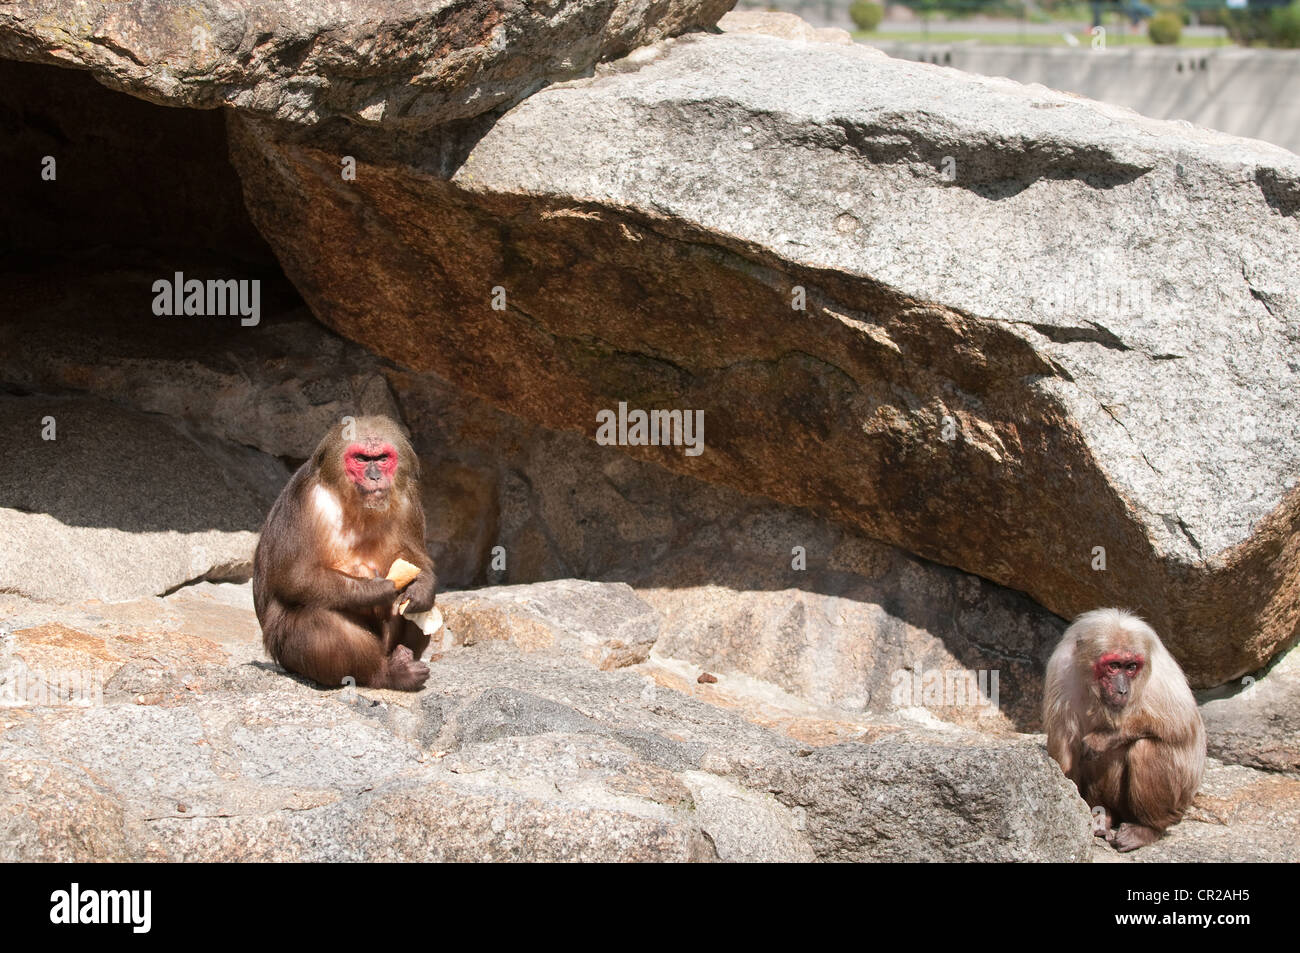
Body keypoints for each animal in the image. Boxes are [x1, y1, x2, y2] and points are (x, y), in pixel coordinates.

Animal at [253, 416, 436, 691]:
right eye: (361, 459)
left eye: (382, 458)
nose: (375, 476)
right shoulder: (306, 498)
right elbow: (294, 577)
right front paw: (378, 590)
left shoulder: (407, 497)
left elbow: (415, 559)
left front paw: (421, 587)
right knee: (316, 621)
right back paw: (386, 674)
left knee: (420, 610)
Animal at [1043, 608, 1205, 852]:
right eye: (1113, 666)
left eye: (1130, 667)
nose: (1121, 690)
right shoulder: (1061, 671)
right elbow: (1064, 746)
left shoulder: (1159, 674)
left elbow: (1181, 724)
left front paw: (1102, 738)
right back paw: (1104, 815)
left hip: (1180, 799)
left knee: (1144, 747)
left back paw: (1148, 827)